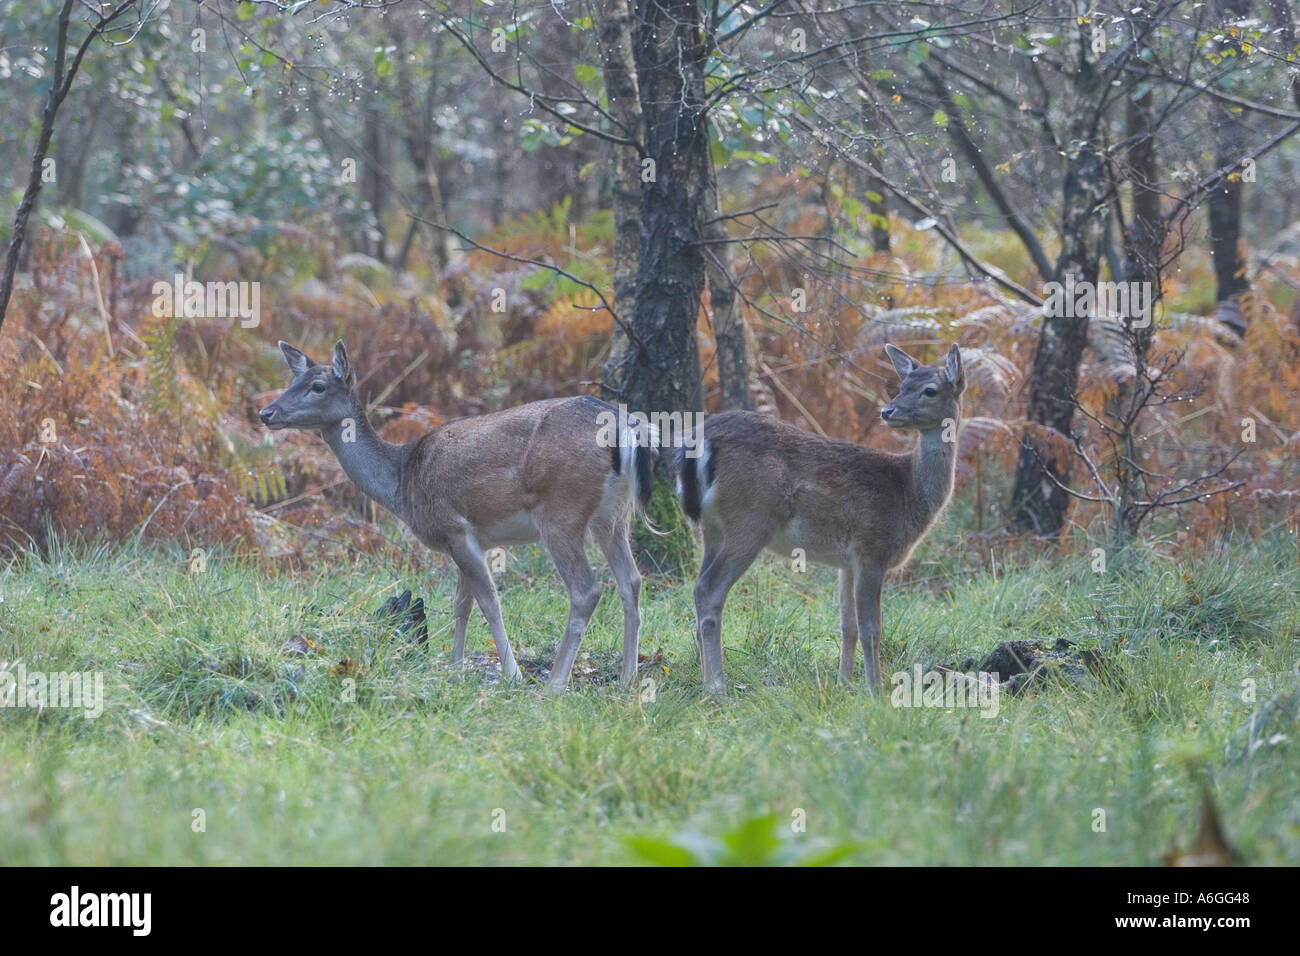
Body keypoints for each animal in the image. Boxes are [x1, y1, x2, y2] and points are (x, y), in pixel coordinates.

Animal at [259, 340, 655, 694]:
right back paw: (628, 677)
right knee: (631, 581)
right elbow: (461, 604)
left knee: (587, 590)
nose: (267, 413)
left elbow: (489, 601)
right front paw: (454, 667)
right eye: (293, 380)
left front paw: (511, 674)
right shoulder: (468, 537)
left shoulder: (453, 527)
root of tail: (625, 427)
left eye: (317, 386)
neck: (401, 482)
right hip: (613, 515)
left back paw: (555, 683)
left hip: (562, 510)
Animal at [674, 342, 965, 697]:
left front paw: (844, 684)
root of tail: (700, 441)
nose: (888, 411)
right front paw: (875, 689)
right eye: (902, 385)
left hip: (712, 527)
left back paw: (706, 682)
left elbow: (847, 625)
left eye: (929, 390)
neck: (909, 493)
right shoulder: (873, 547)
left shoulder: (847, 561)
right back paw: (717, 688)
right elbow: (871, 628)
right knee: (709, 589)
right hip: (750, 519)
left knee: (697, 587)